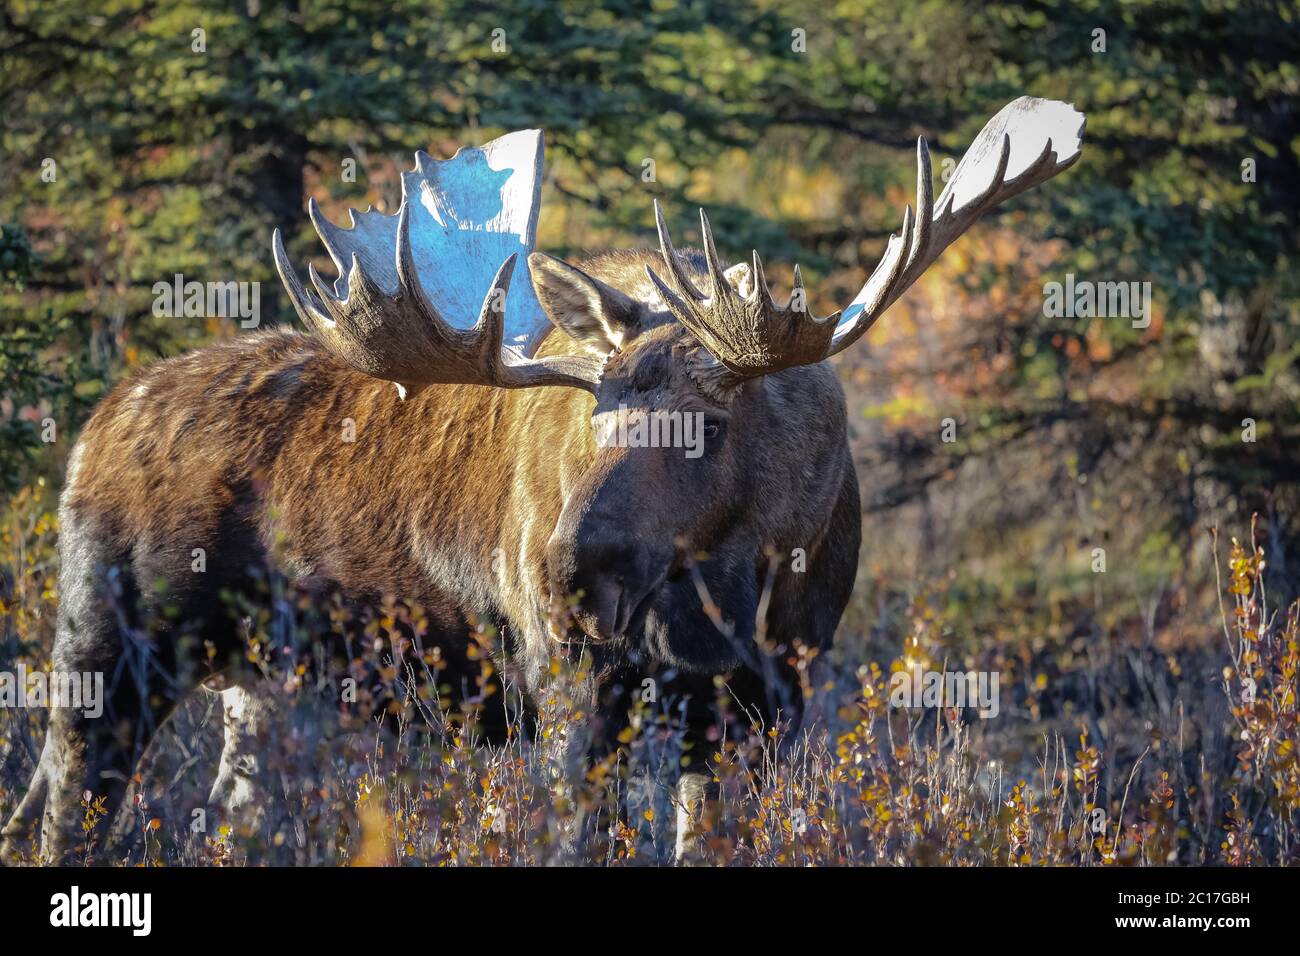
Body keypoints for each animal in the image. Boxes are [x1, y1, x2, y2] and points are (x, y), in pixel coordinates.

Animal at [0, 96, 1083, 864]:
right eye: (590, 412)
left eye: (710, 423)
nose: (565, 568)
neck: (741, 573)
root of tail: (88, 433)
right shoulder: (574, 676)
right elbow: (578, 835)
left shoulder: (770, 690)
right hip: (111, 646)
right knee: (60, 817)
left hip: (256, 680)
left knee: (207, 815)